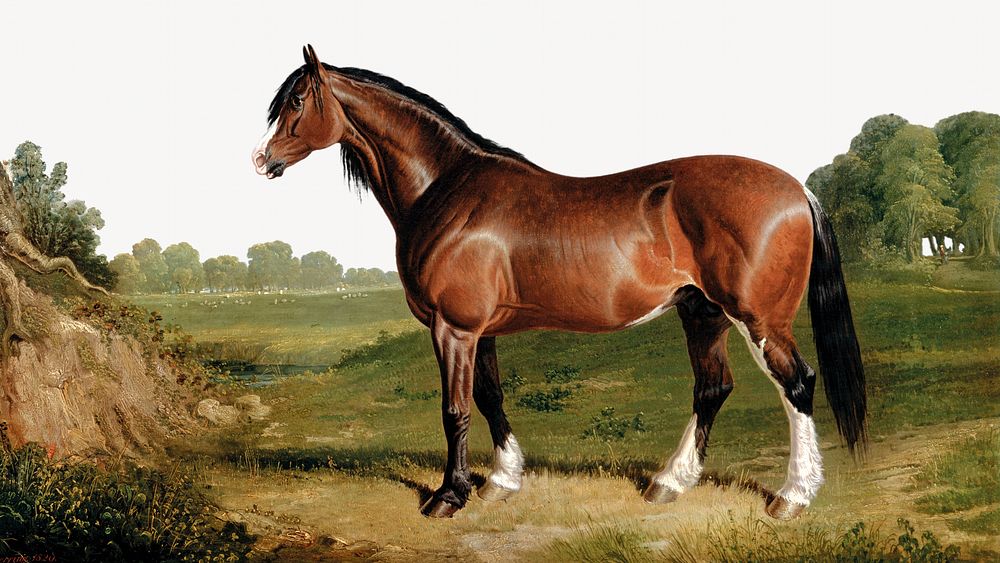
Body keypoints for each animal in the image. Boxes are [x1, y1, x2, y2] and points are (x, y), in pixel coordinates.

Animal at [252, 45, 867, 520]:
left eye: (297, 101)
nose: (261, 160)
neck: (447, 189)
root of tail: (797, 189)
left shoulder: (453, 329)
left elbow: (455, 410)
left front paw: (449, 496)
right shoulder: (479, 332)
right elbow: (489, 398)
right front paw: (501, 481)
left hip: (758, 319)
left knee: (798, 385)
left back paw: (791, 497)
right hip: (703, 312)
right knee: (712, 389)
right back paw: (668, 483)